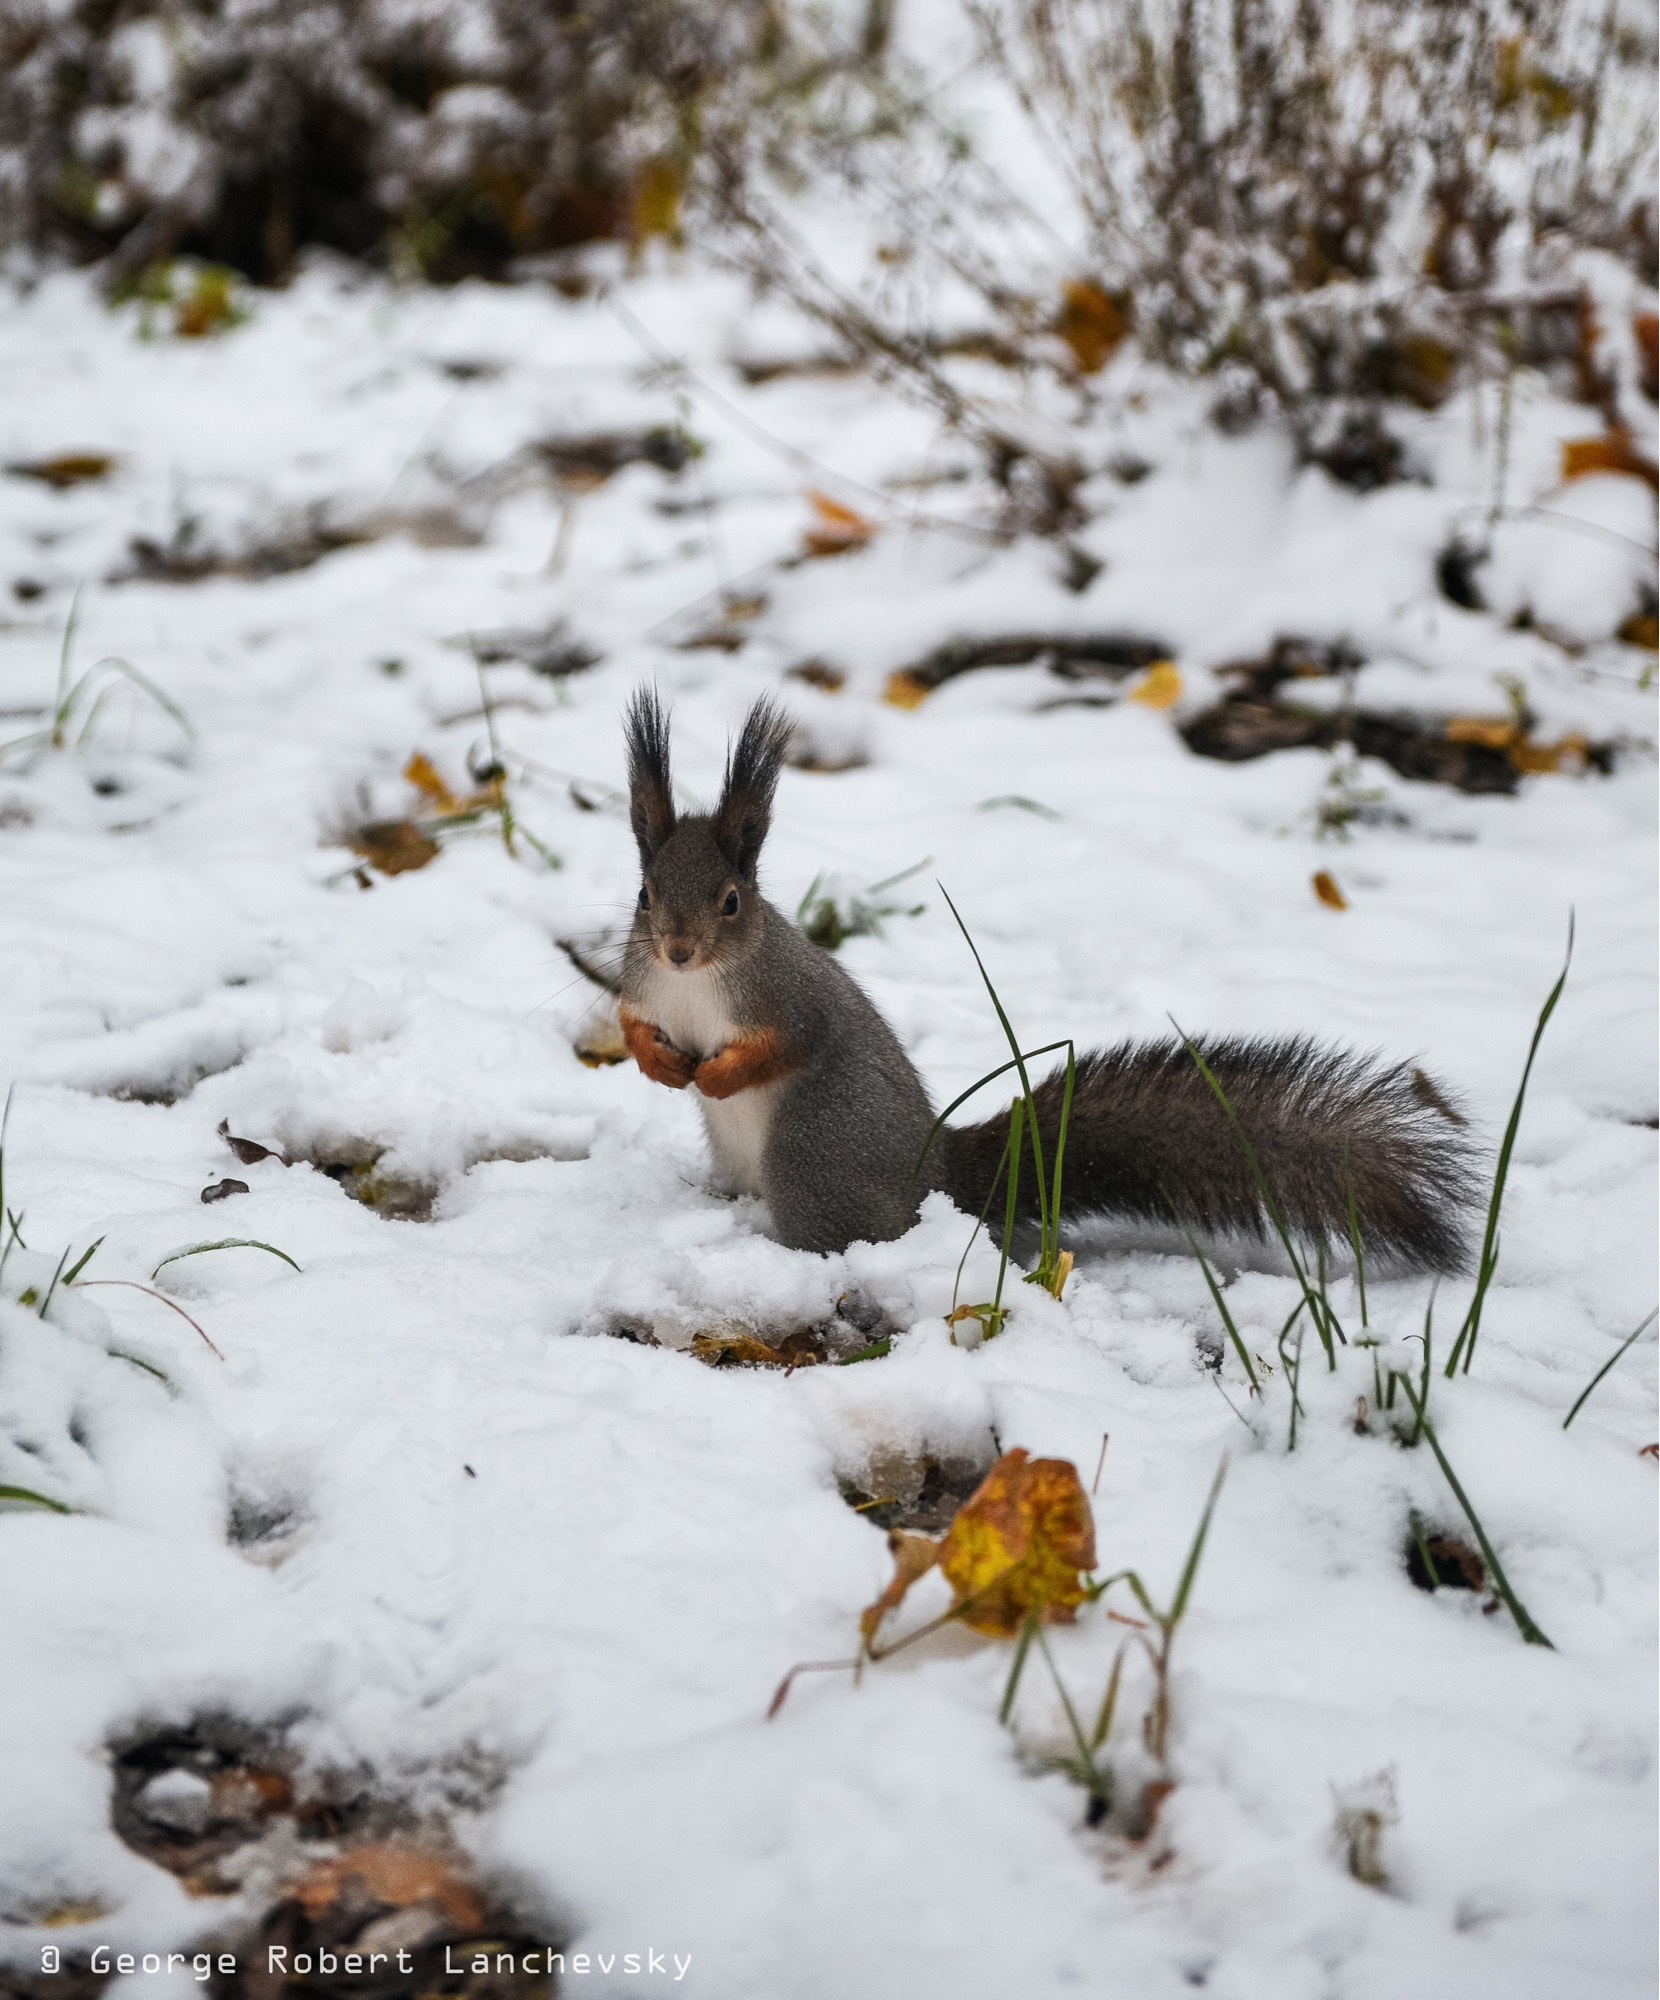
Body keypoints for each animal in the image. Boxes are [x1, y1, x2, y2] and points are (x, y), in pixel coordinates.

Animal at [616, 692, 1472, 1264]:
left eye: (733, 902)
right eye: (646, 895)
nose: (679, 951)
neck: (697, 984)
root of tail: (936, 1177)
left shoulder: (788, 996)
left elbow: (790, 1043)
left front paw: (719, 1075)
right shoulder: (643, 983)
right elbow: (630, 1025)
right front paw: (660, 1064)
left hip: (810, 1153)